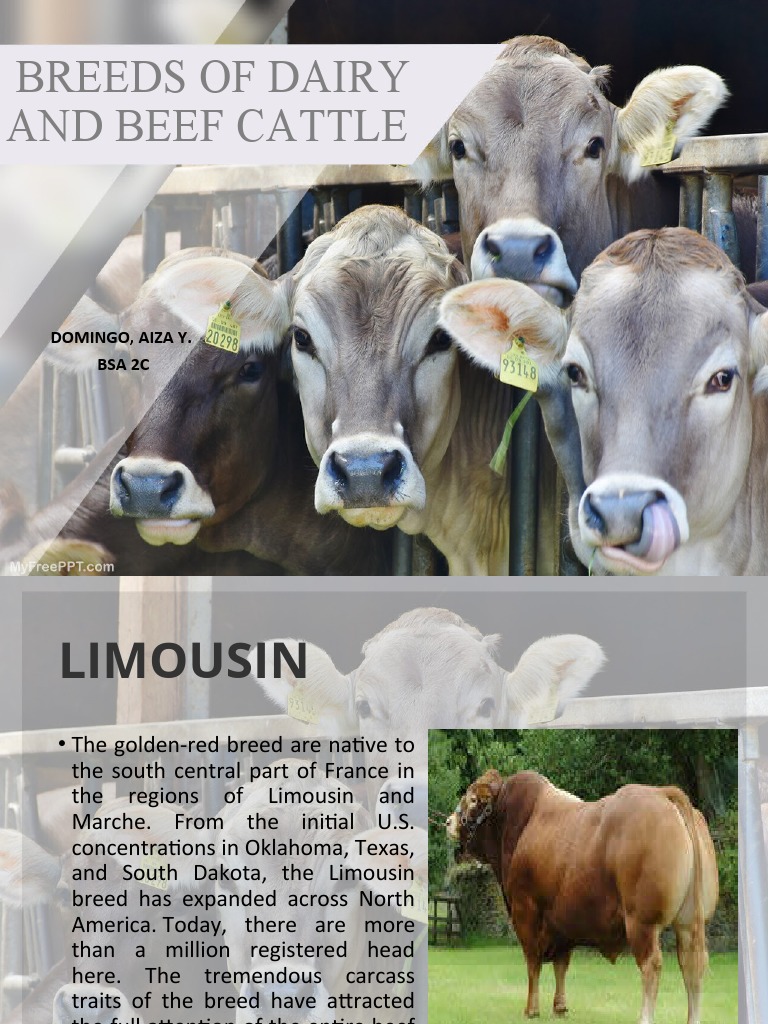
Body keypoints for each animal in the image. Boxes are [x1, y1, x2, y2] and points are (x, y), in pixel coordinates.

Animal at [447, 770, 718, 1024]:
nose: (449, 821)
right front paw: (560, 1007)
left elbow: (533, 963)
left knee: (652, 965)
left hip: (642, 922)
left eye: (473, 799)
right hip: (689, 923)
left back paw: (644, 1017)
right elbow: (561, 965)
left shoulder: (526, 912)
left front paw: (531, 1009)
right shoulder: (562, 923)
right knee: (692, 966)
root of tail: (662, 793)